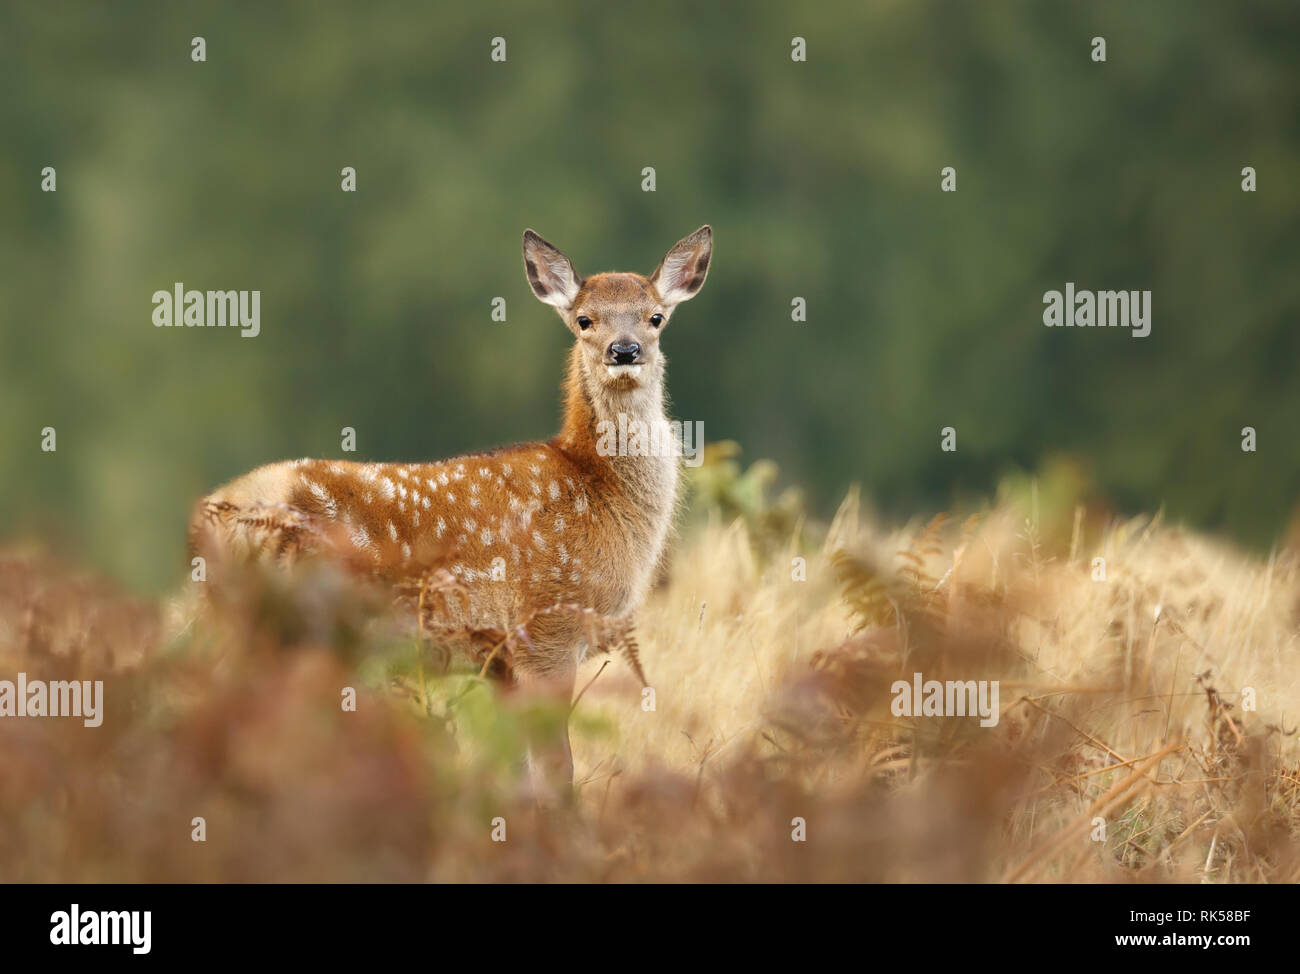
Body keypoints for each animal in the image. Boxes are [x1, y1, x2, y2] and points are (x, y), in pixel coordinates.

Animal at [189, 226, 713, 799]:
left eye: (656, 316)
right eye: (584, 319)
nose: (625, 350)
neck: (601, 496)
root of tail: (213, 518)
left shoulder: (498, 661)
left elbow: (517, 773)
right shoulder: (545, 628)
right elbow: (556, 770)